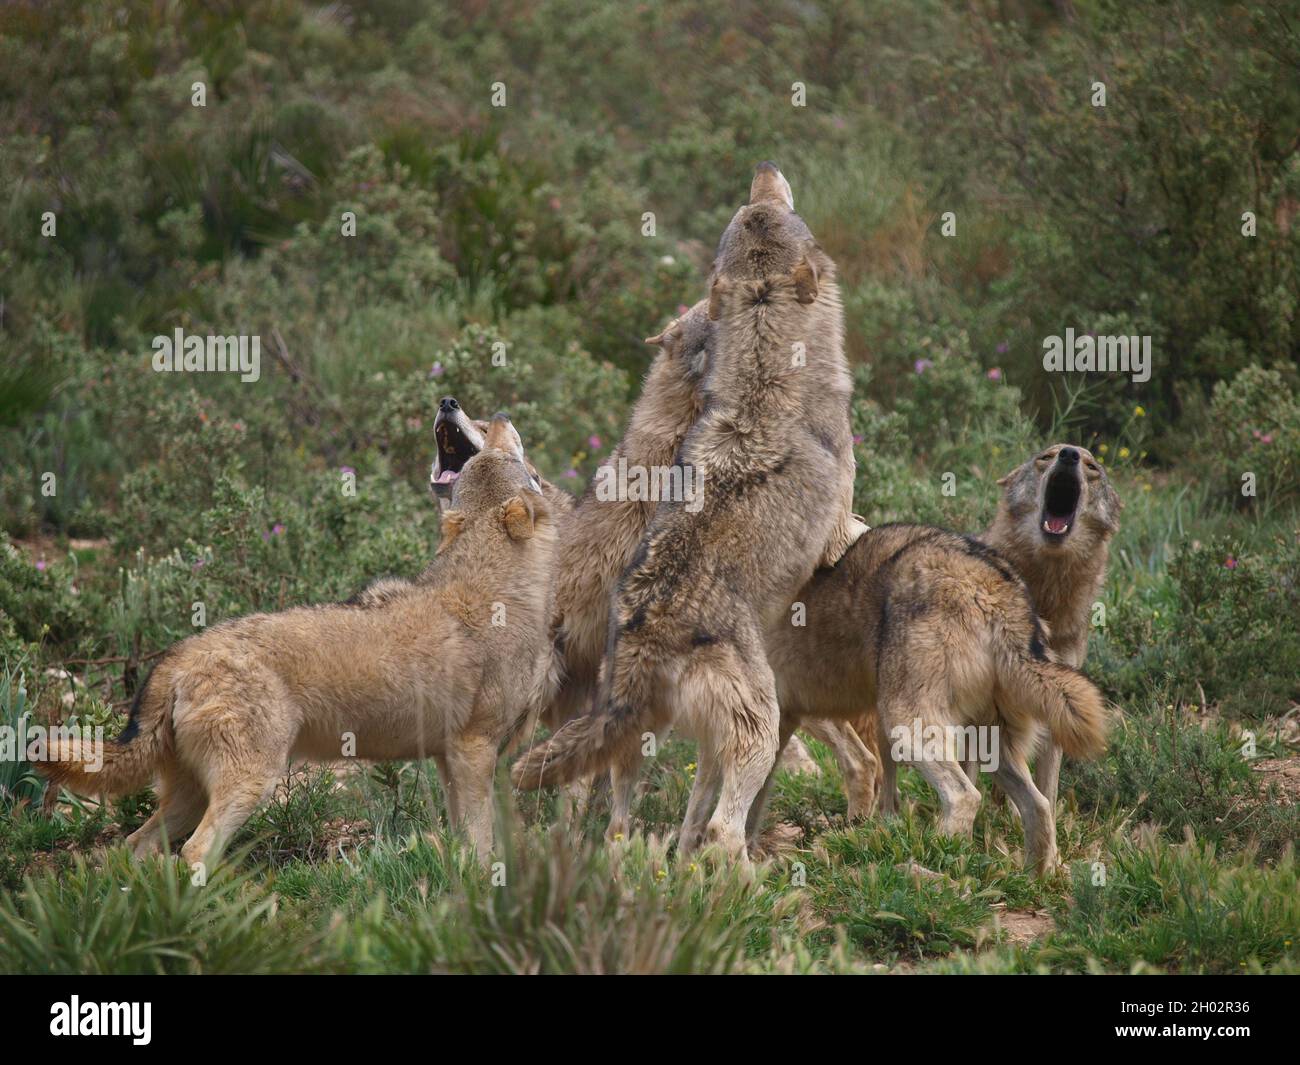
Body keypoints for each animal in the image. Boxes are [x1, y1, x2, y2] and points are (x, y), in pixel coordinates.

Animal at [41, 415, 556, 866]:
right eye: (521, 462)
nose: (500, 415)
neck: (496, 587)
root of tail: (183, 652)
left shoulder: (451, 760)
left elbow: (467, 840)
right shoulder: (473, 752)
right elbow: (482, 846)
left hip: (190, 797)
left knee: (135, 845)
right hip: (251, 787)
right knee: (194, 851)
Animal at [511, 162, 859, 857]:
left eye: (753, 212)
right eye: (774, 210)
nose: (764, 167)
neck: (768, 362)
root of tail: (649, 623)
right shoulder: (840, 518)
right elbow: (856, 529)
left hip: (657, 736)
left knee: (651, 823)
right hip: (759, 723)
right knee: (724, 828)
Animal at [763, 523, 1108, 873]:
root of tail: (995, 587)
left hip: (904, 726)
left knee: (961, 796)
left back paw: (932, 863)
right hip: (986, 745)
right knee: (1039, 806)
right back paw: (1033, 877)